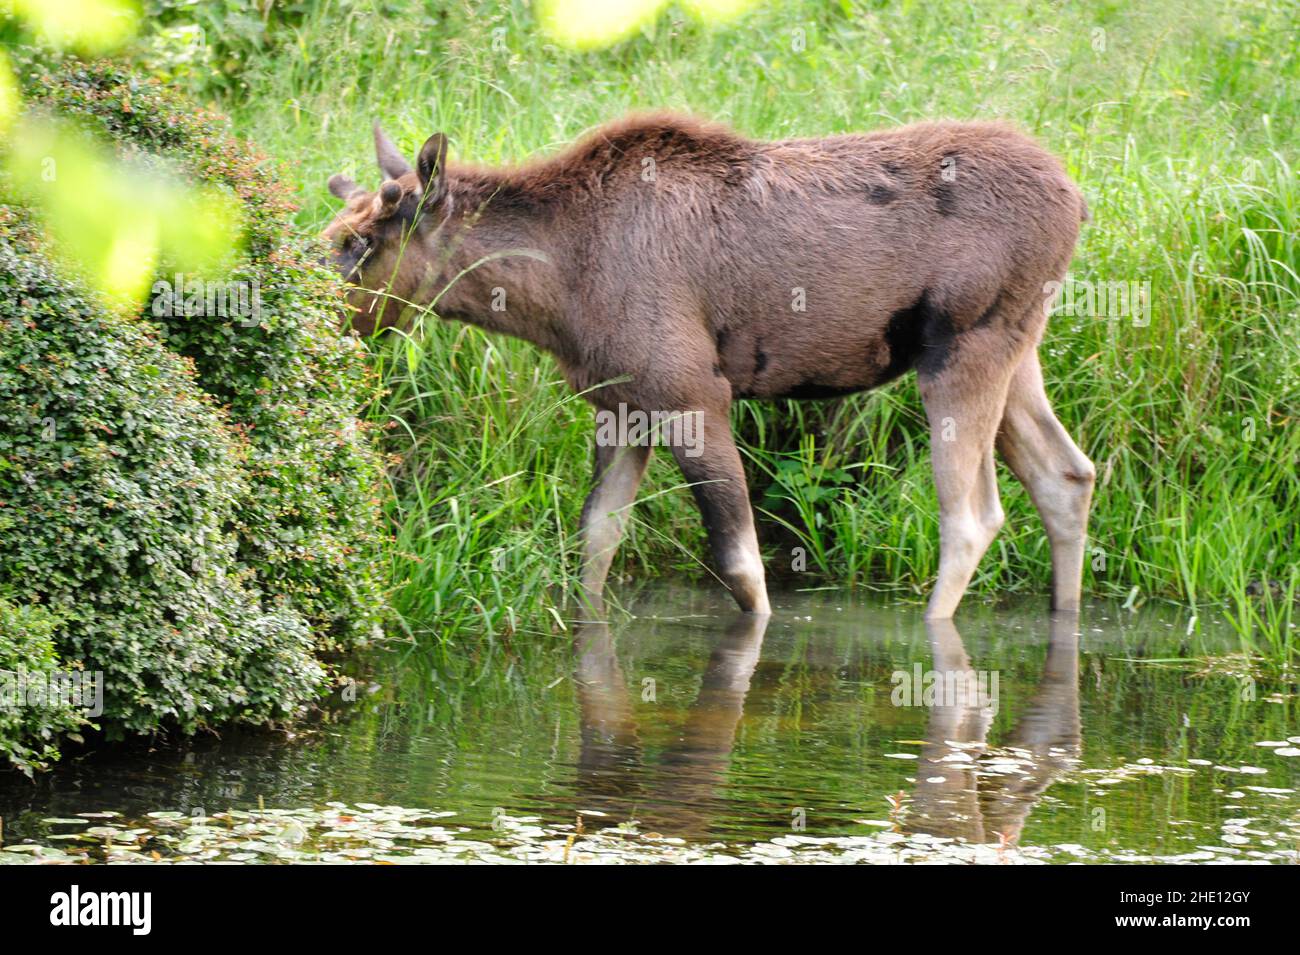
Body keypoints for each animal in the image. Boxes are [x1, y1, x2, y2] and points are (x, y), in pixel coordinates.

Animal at [323, 113, 1095, 620]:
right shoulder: (622, 406)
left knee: (971, 517)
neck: (554, 292)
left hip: (964, 351)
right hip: (1018, 351)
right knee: (1067, 474)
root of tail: (1079, 200)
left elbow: (741, 568)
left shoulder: (693, 394)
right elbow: (595, 543)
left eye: (361, 244)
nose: (315, 312)